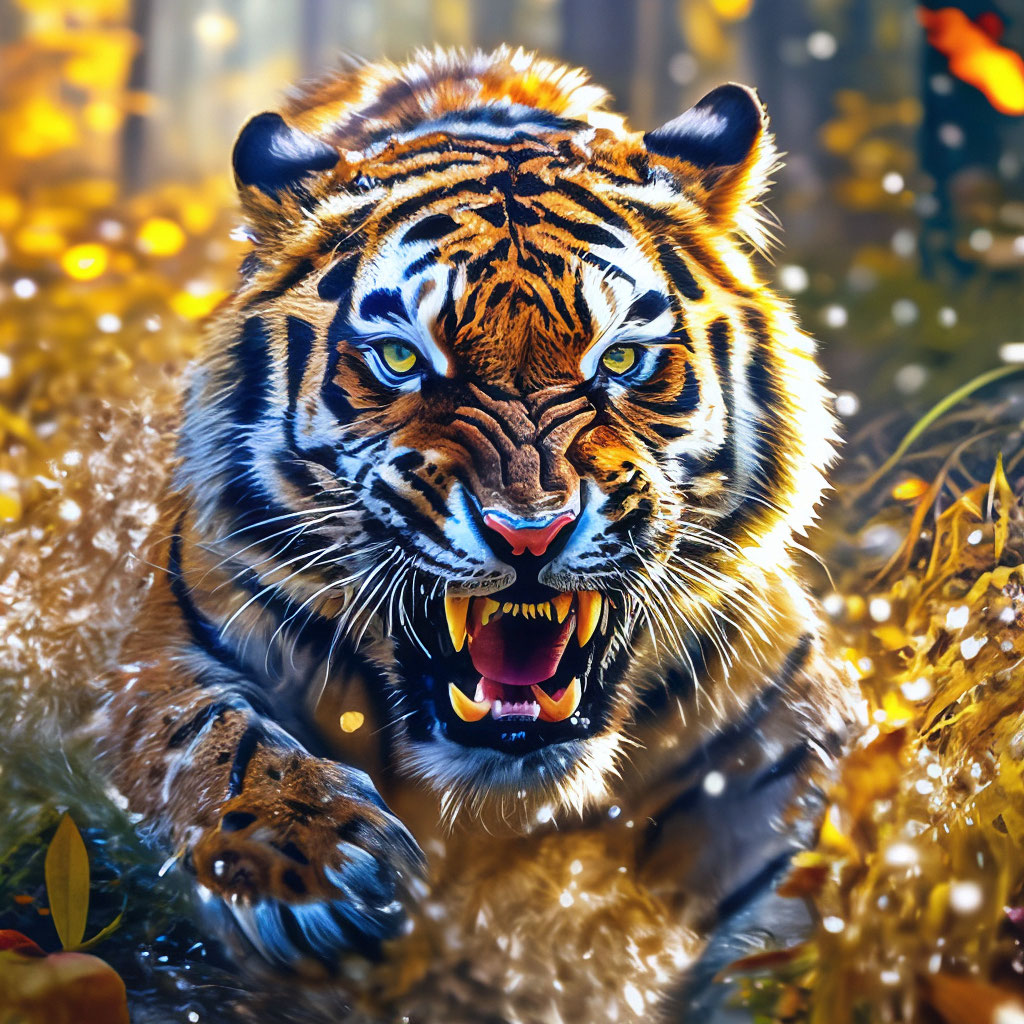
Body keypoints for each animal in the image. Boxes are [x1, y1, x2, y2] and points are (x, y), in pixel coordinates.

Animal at [101, 46, 855, 1022]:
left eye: (621, 359)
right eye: (401, 359)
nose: (530, 534)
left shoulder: (787, 750)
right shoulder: (166, 644)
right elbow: (211, 738)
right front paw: (311, 864)